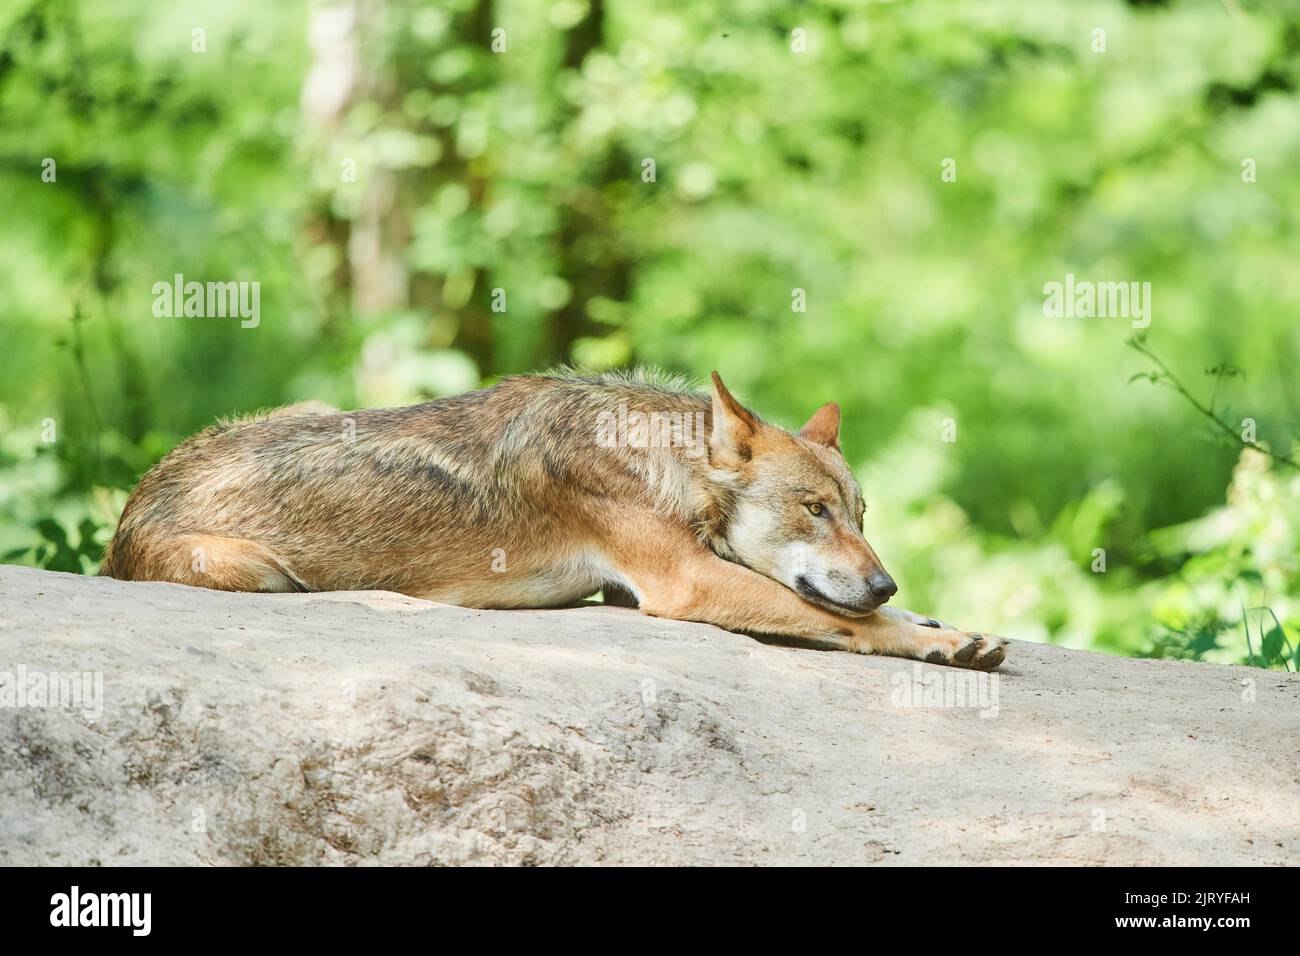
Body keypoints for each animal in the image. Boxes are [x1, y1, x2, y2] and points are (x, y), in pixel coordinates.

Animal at [101, 371, 1006, 670]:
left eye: (859, 514)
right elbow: (850, 622)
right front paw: (943, 639)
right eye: (813, 511)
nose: (886, 578)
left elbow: (843, 612)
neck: (655, 460)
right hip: (254, 569)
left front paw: (937, 619)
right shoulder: (684, 582)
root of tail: (126, 515)